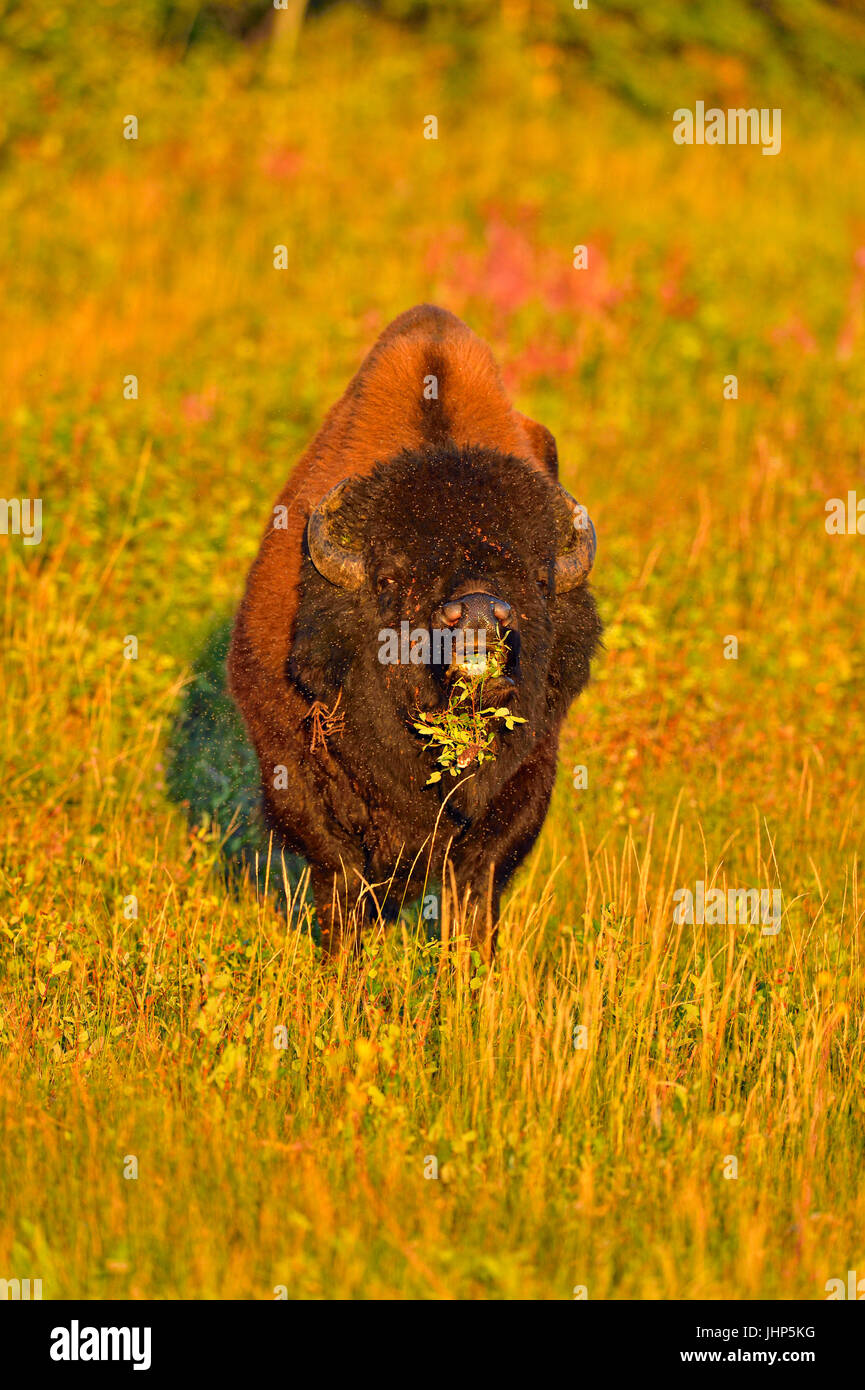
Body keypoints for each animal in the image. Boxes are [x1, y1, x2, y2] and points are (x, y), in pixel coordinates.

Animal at [228, 305, 601, 953]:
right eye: (392, 576)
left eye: (539, 576)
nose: (478, 612)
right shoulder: (297, 771)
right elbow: (342, 880)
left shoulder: (524, 783)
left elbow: (474, 889)